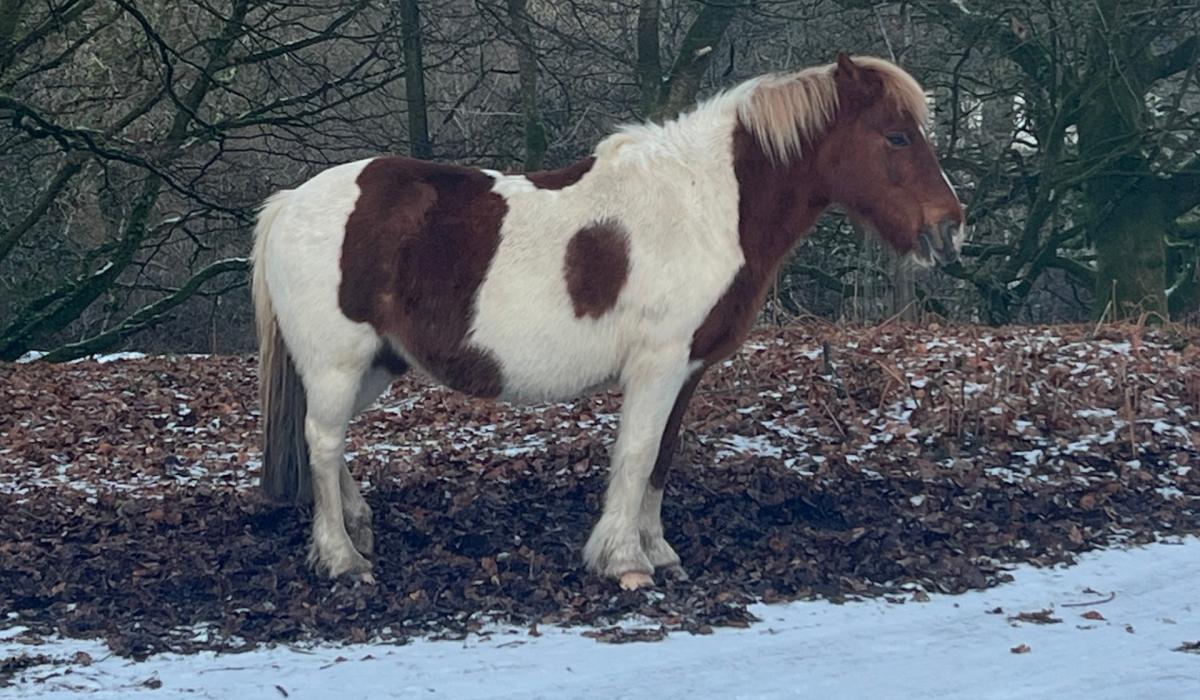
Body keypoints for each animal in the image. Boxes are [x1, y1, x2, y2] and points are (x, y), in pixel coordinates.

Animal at [251, 53, 964, 590]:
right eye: (896, 136)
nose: (949, 228)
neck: (703, 207)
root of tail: (291, 202)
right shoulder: (658, 364)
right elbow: (637, 452)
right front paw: (625, 562)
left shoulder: (688, 370)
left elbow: (663, 457)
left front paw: (659, 552)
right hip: (338, 363)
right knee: (322, 443)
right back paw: (342, 559)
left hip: (375, 364)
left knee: (328, 441)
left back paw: (358, 527)